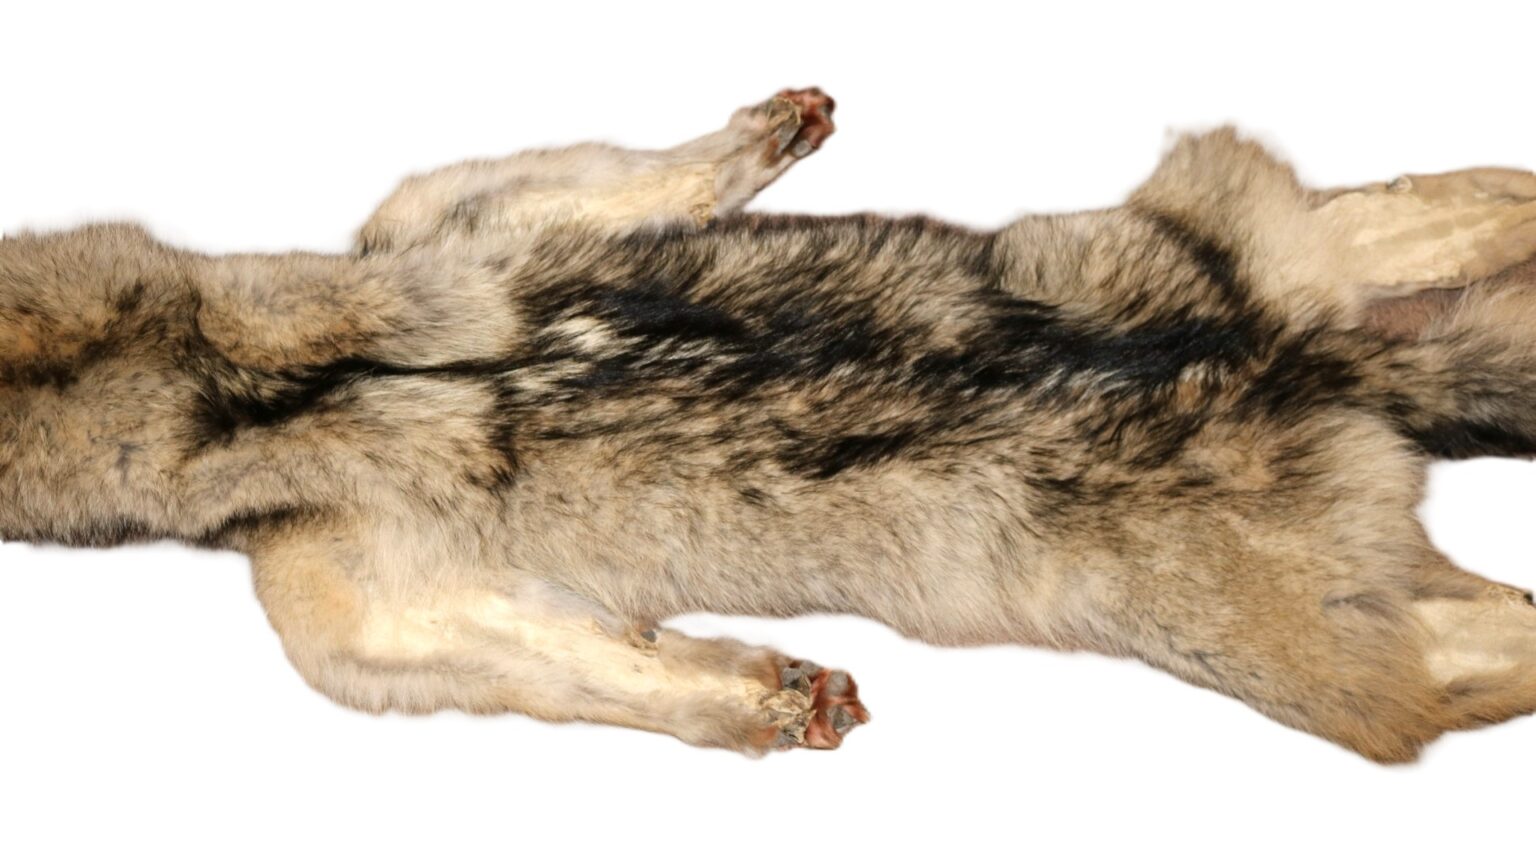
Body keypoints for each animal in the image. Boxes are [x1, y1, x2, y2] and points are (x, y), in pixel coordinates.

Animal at [5, 87, 1536, 761]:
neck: (235, 371)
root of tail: (1317, 370)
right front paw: (782, 695)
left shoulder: (346, 606)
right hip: (1319, 285)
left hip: (1287, 631)